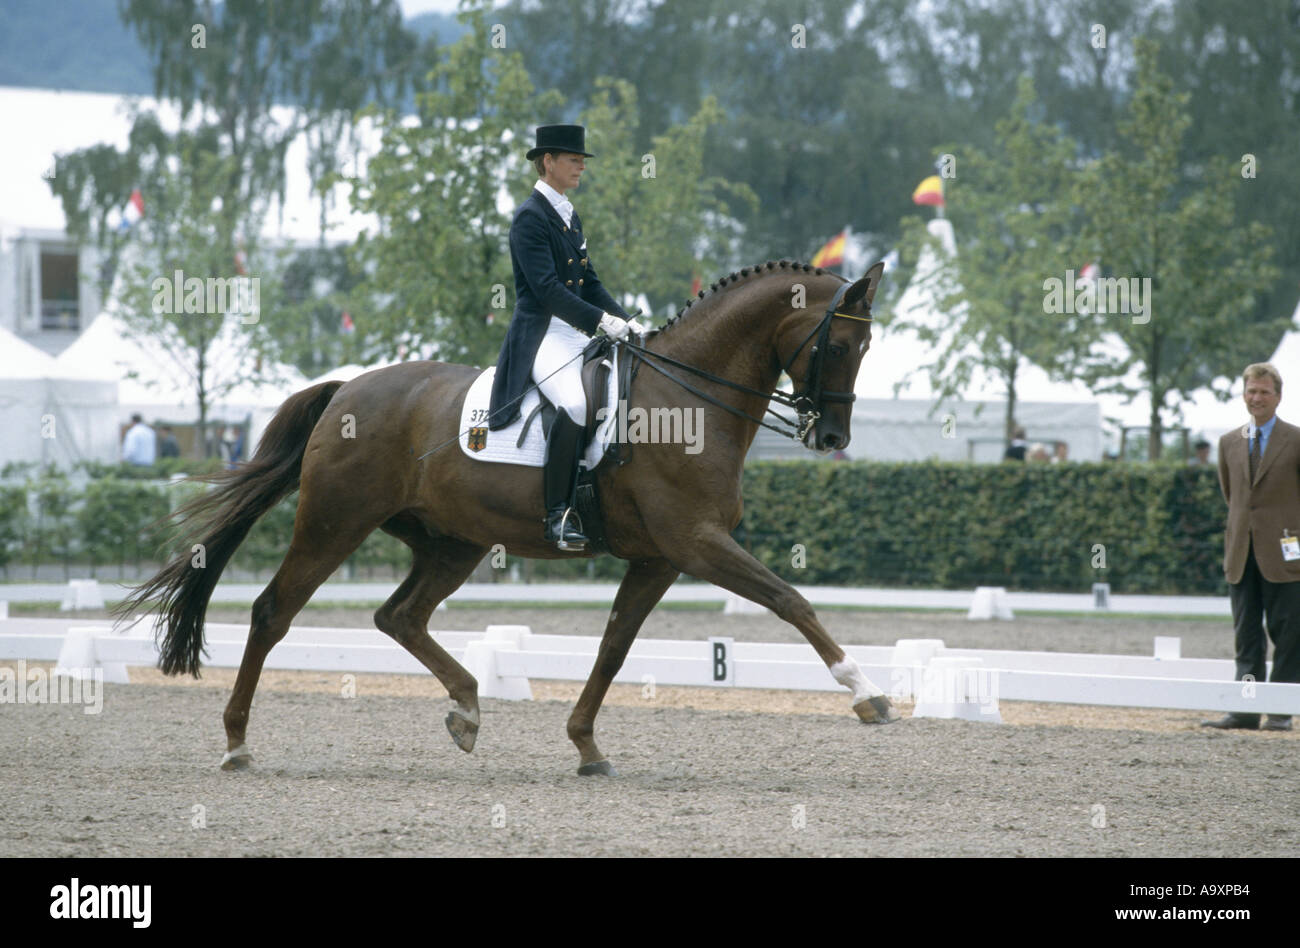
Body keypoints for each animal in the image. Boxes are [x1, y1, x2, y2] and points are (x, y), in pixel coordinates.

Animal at [116, 258, 895, 776]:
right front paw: (866, 692)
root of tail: (346, 389)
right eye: (837, 344)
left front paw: (586, 746)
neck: (687, 398)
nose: (832, 437)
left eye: (866, 349)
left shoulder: (659, 558)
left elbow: (614, 647)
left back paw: (465, 708)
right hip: (335, 522)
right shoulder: (697, 543)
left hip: (451, 542)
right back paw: (237, 743)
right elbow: (790, 600)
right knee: (273, 612)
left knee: (399, 615)